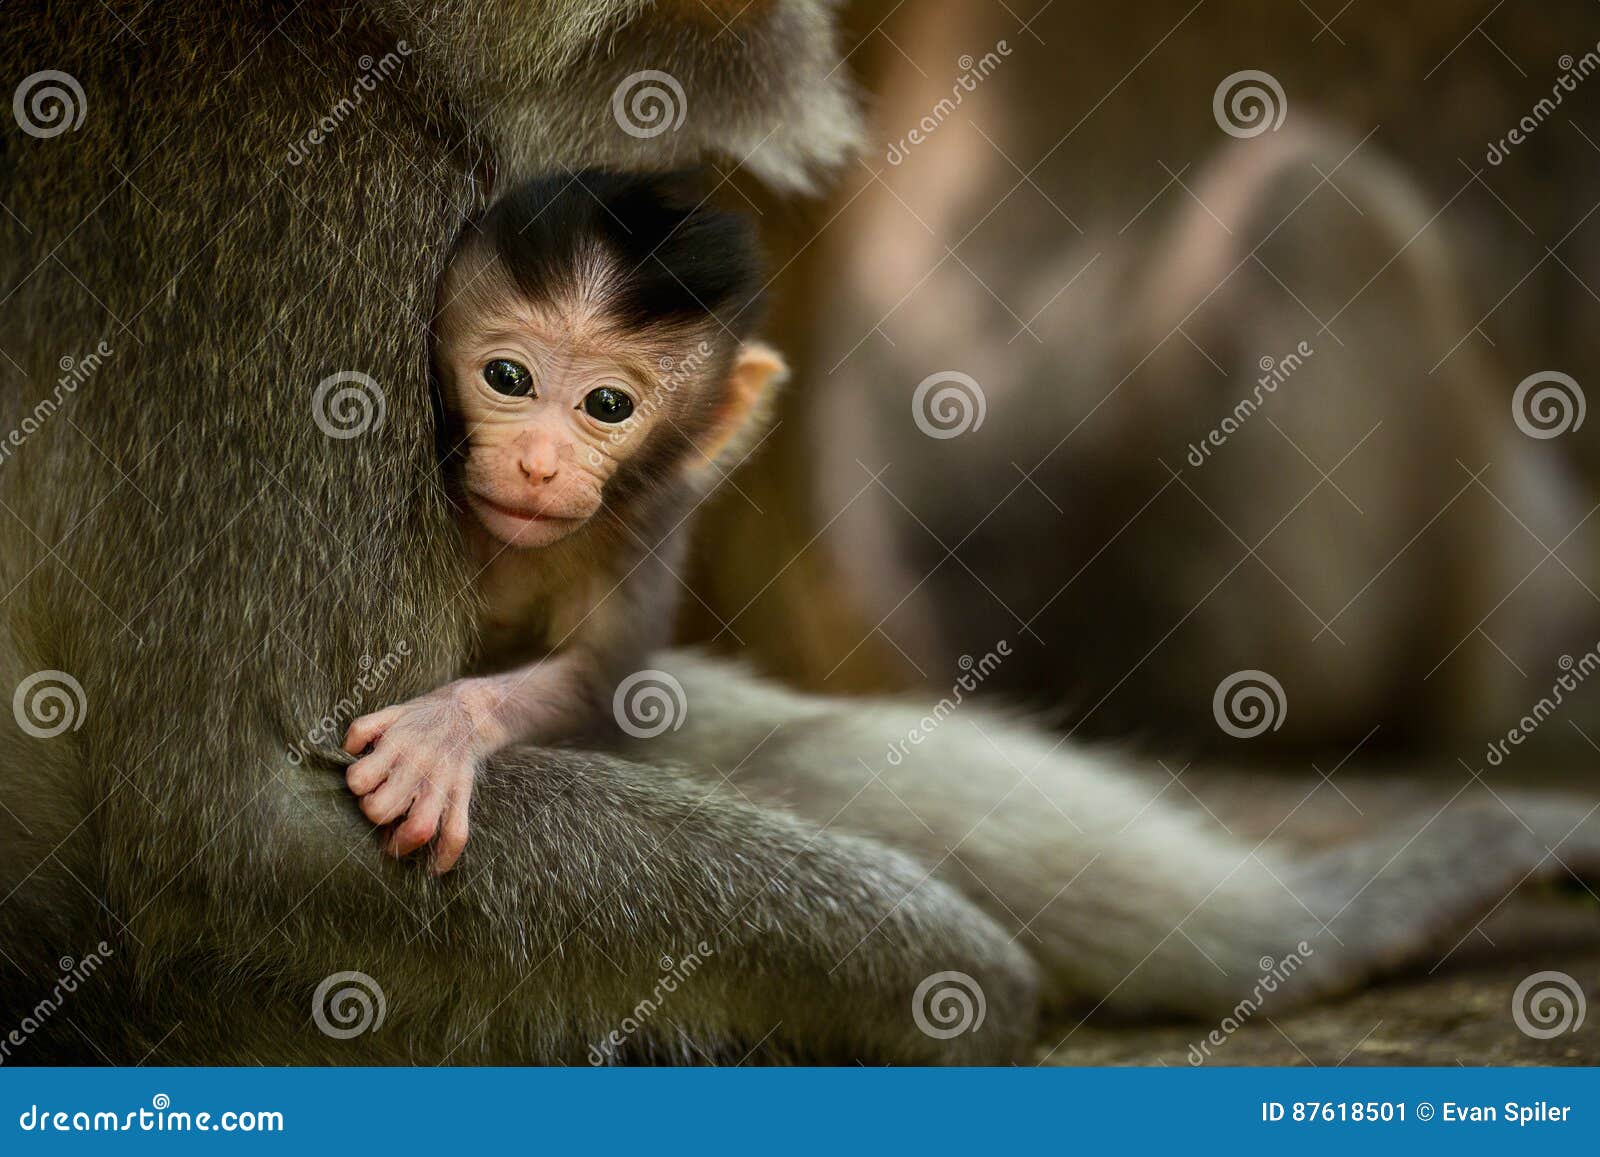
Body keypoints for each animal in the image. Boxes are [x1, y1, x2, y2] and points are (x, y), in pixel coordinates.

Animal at [341, 172, 788, 873]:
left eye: (608, 405)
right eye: (507, 377)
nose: (539, 465)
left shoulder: (643, 531)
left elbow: (605, 682)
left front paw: (446, 729)